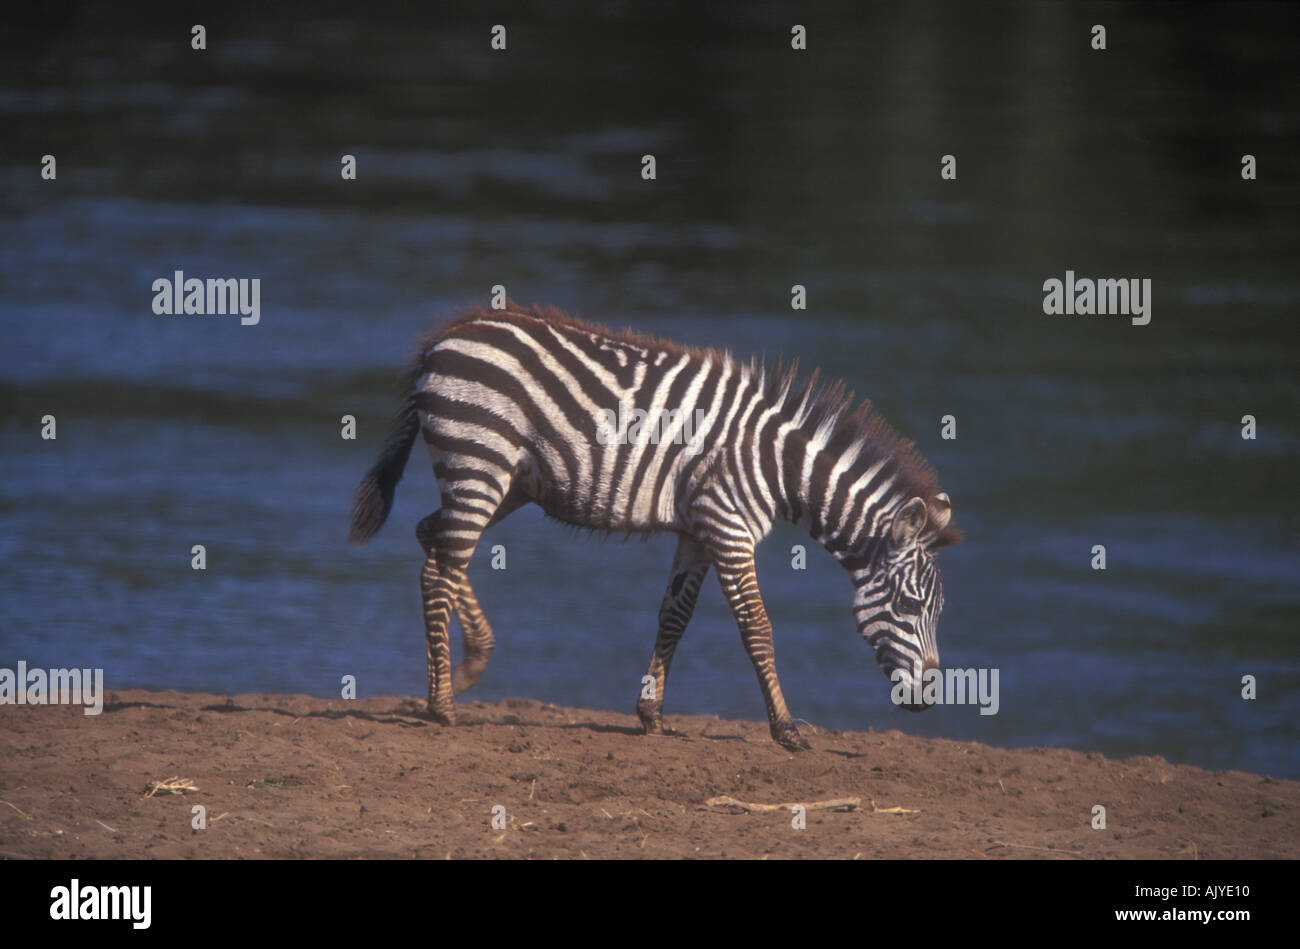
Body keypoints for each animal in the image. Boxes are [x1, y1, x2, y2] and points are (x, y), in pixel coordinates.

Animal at [349, 304, 960, 751]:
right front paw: (786, 729)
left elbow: (675, 617)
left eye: (937, 610)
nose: (930, 697)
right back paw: (442, 705)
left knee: (433, 540)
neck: (776, 467)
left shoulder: (698, 531)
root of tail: (444, 338)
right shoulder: (729, 526)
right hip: (479, 461)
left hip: (506, 481)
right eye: (910, 605)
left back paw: (470, 662)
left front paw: (651, 715)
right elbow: (757, 627)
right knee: (441, 570)